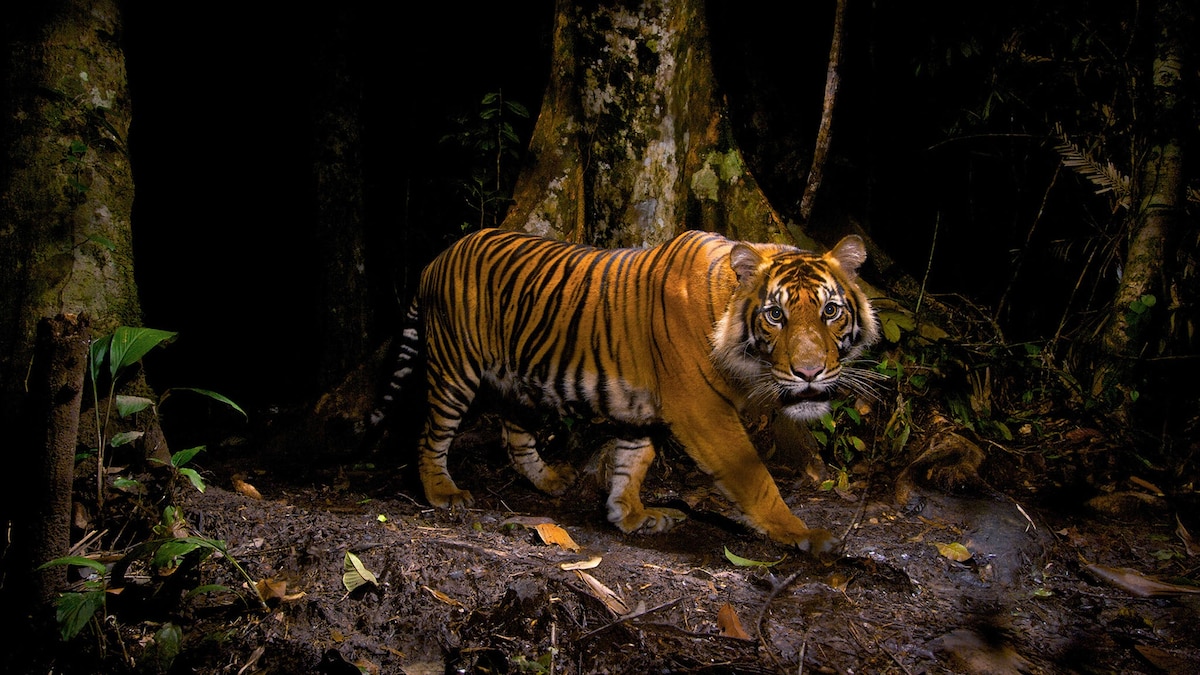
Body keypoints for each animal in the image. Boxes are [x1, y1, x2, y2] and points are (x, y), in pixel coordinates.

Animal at [371, 227, 879, 553]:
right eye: (776, 315)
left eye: (831, 311)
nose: (810, 372)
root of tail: (437, 258)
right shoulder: (703, 411)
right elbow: (755, 477)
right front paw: (801, 534)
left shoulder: (647, 410)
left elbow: (631, 464)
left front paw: (629, 516)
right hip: (454, 369)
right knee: (430, 434)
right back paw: (442, 492)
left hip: (520, 380)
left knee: (515, 437)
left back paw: (550, 480)